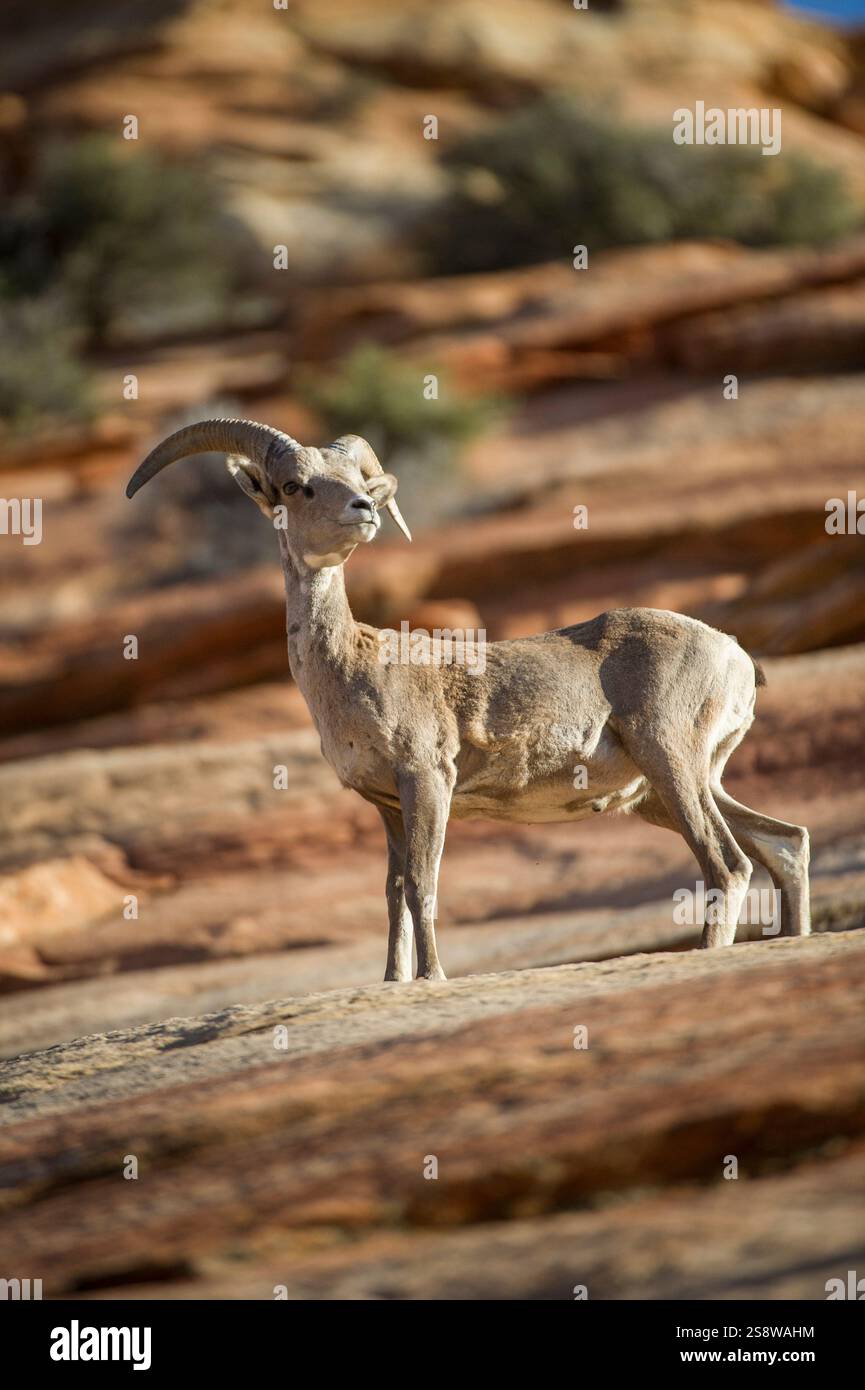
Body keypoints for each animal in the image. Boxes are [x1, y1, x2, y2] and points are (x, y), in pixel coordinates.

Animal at [127, 418, 811, 981]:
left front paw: (432, 977)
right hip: (668, 789)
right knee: (785, 843)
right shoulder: (387, 806)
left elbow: (422, 885)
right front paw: (393, 981)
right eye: (296, 486)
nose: (363, 511)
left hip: (671, 762)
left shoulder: (428, 781)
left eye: (355, 482)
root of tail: (733, 653)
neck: (352, 669)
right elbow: (394, 894)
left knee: (727, 865)